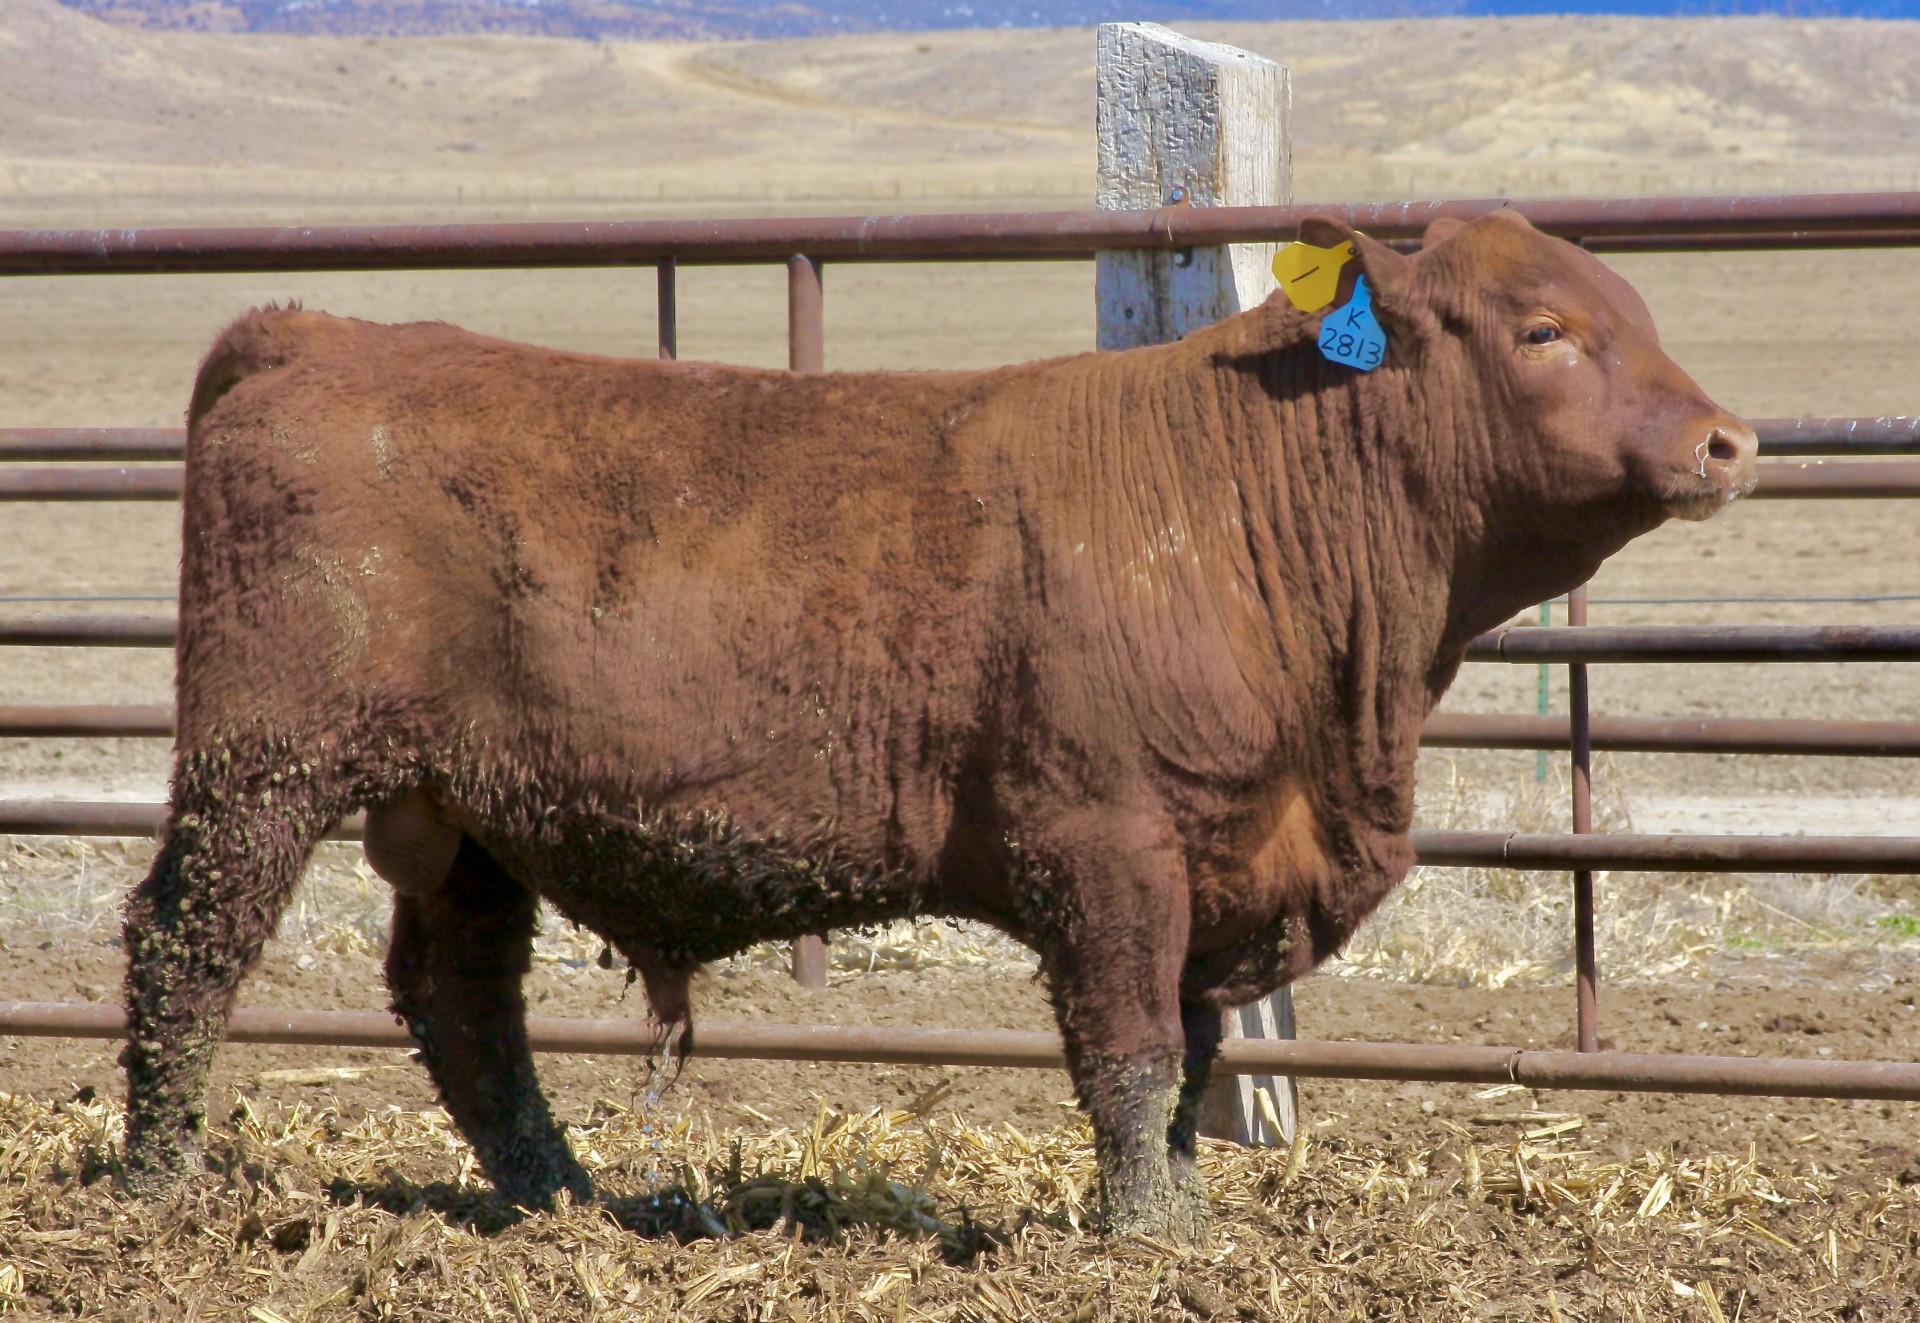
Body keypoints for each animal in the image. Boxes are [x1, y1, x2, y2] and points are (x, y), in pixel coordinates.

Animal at [120, 210, 1756, 1241]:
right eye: (1544, 330)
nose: (1727, 438)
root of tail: (318, 330)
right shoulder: (1106, 847)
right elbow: (1130, 1050)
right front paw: (1148, 1240)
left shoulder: (1218, 854)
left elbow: (1194, 1059)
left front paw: (1189, 1213)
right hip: (263, 762)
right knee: (186, 945)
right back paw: (158, 1188)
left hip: (467, 816)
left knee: (461, 999)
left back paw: (562, 1198)